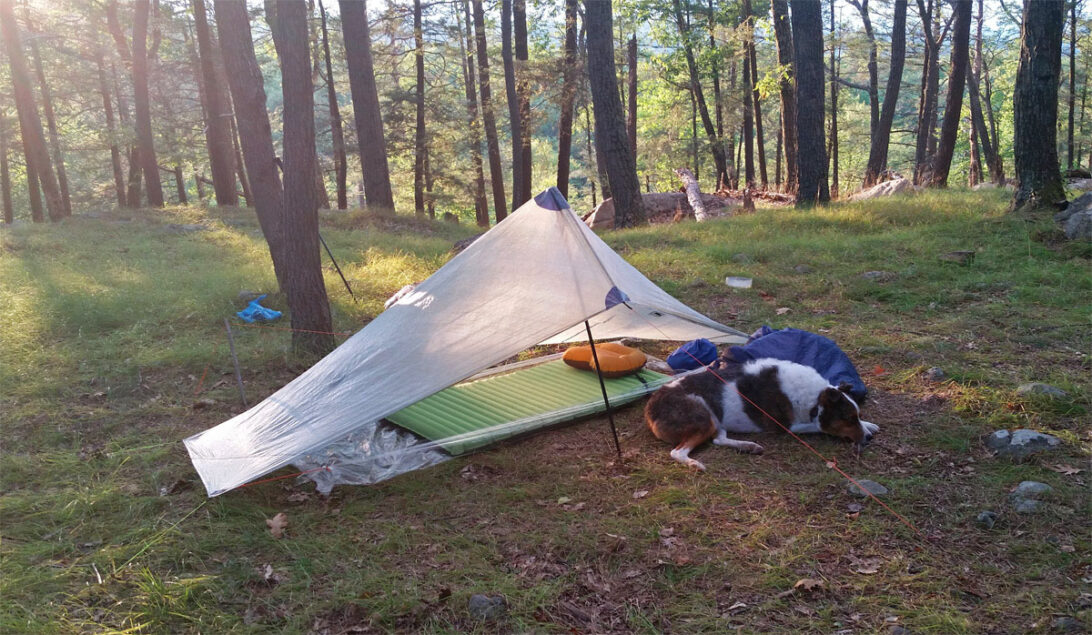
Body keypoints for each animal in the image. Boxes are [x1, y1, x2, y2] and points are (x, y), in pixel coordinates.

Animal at [642, 357, 873, 473]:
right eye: (849, 419)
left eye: (856, 416)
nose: (869, 439)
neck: (816, 397)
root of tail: (650, 408)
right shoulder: (787, 426)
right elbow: (818, 427)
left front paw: (870, 425)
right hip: (703, 418)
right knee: (677, 452)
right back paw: (695, 464)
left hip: (715, 420)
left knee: (718, 440)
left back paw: (748, 446)